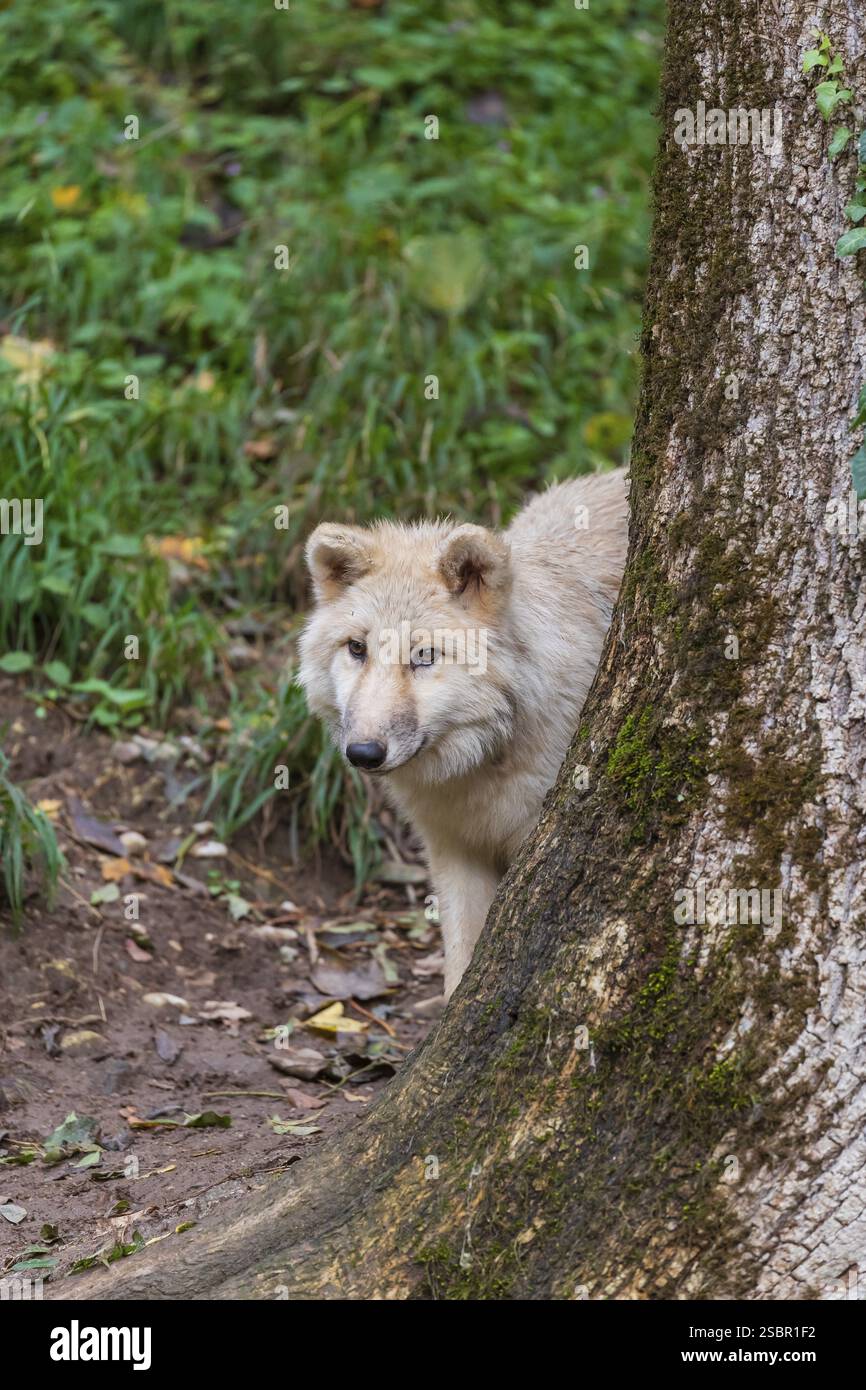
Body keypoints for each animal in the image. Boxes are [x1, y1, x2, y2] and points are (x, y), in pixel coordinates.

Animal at [298, 470, 629, 998]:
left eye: (424, 656)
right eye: (357, 649)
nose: (363, 753)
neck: (484, 761)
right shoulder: (453, 849)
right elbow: (460, 961)